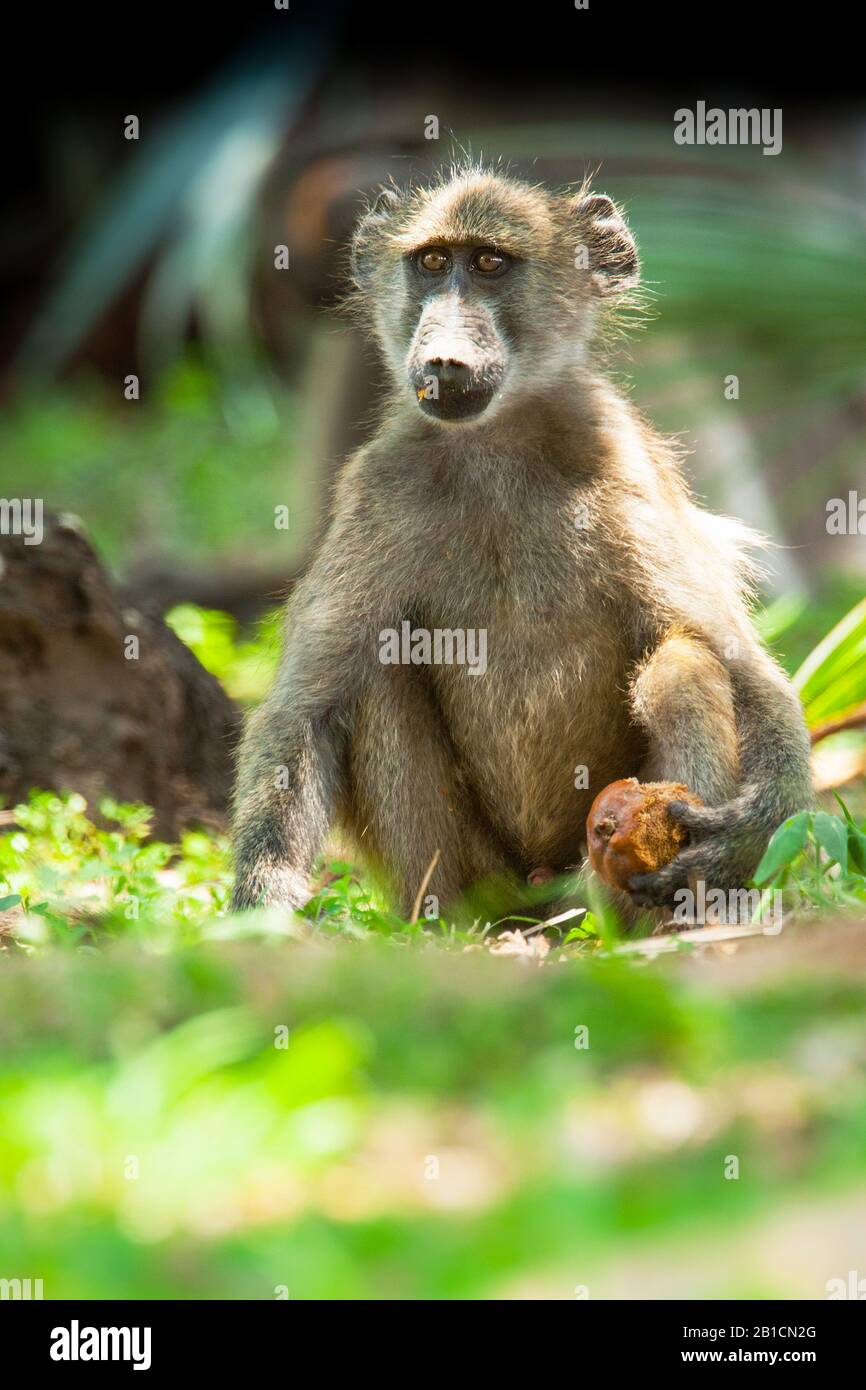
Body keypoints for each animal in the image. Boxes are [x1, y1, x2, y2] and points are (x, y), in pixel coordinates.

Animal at [230, 162, 812, 920]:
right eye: (431, 263)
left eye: (489, 264)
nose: (443, 359)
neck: (496, 445)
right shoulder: (375, 488)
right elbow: (308, 710)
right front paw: (264, 903)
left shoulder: (622, 463)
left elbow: (741, 667)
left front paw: (752, 832)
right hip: (473, 875)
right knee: (376, 674)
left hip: (595, 878)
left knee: (682, 665)